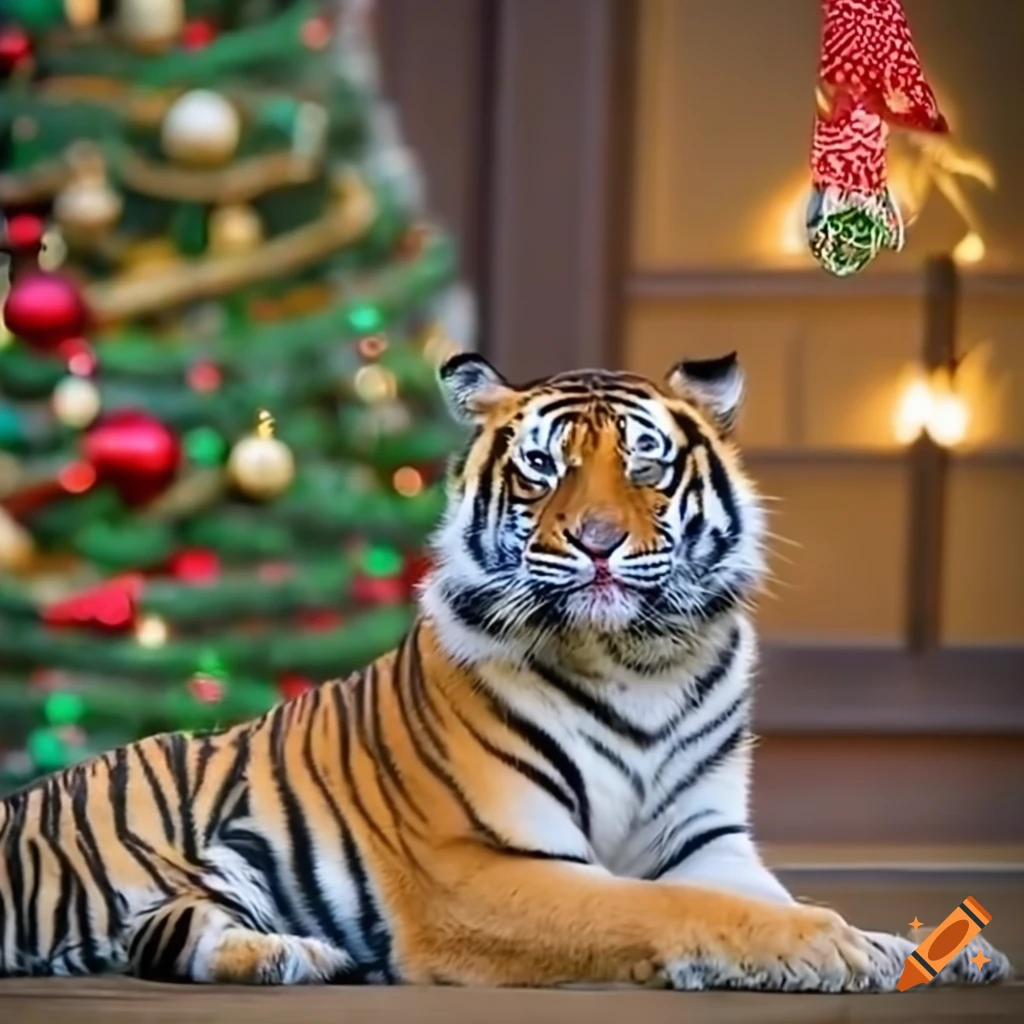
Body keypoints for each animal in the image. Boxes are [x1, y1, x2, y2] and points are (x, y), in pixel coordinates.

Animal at [0, 352, 1013, 990]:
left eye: (646, 465)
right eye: (541, 469)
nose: (598, 543)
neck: (644, 659)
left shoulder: (712, 840)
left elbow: (768, 896)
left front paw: (926, 950)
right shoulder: (488, 865)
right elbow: (670, 908)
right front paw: (832, 952)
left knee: (168, 935)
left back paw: (300, 956)